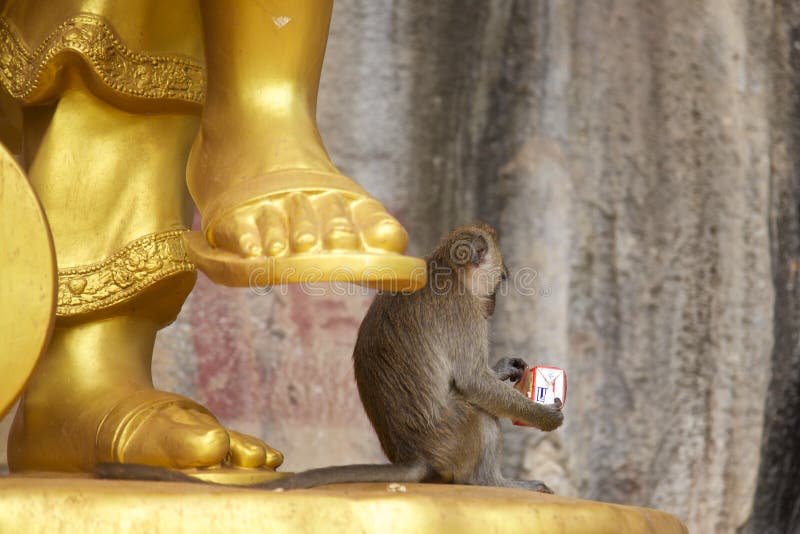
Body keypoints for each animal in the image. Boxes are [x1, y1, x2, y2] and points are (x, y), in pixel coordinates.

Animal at [96, 222, 564, 492]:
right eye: (500, 281)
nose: (494, 305)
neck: (446, 270)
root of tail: (414, 455)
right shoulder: (463, 313)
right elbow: (471, 382)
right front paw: (546, 414)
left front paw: (511, 371)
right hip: (450, 437)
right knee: (477, 414)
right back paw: (493, 482)